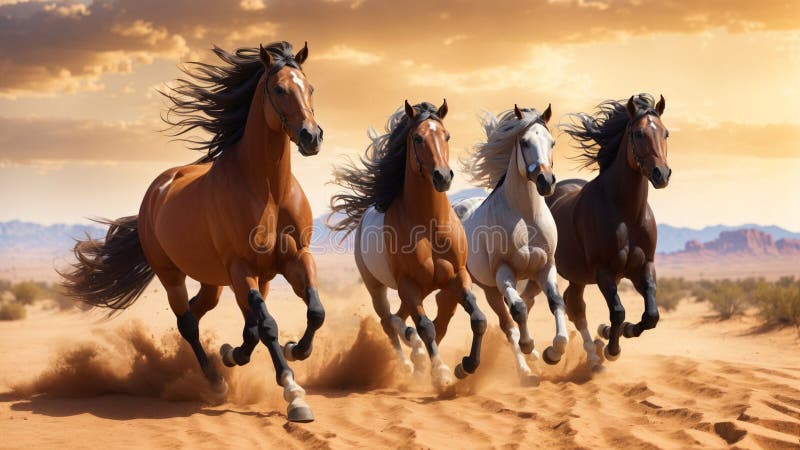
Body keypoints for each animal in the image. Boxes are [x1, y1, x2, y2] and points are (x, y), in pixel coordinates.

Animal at [61, 42, 325, 422]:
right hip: (172, 274)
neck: (268, 189)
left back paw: (229, 357)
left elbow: (313, 312)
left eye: (310, 88)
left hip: (218, 281)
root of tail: (158, 189)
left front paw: (294, 350)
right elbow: (268, 326)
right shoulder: (241, 268)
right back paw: (216, 382)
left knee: (205, 312)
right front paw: (294, 394)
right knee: (188, 322)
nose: (311, 137)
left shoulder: (295, 259)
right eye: (279, 89)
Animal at [330, 100, 487, 392]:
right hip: (378, 287)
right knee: (389, 322)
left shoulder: (457, 277)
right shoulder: (408, 284)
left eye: (447, 136)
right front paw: (441, 373)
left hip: (418, 290)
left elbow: (478, 318)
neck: (429, 223)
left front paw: (466, 366)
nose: (443, 176)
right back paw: (407, 363)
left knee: (399, 318)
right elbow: (426, 327)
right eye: (417, 138)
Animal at [452, 104, 568, 384]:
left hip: (489, 287)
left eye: (552, 142)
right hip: (488, 286)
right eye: (524, 142)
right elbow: (518, 309)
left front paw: (553, 351)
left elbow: (556, 303)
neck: (526, 216)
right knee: (507, 325)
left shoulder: (545, 268)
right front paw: (530, 346)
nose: (546, 181)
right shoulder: (505, 272)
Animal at [527, 94, 671, 371]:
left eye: (665, 133)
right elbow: (618, 311)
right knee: (536, 301)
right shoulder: (604, 272)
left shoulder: (643, 266)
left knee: (574, 304)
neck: (626, 213)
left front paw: (612, 333)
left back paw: (585, 354)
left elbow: (651, 315)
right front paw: (612, 349)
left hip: (577, 276)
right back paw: (550, 353)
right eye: (638, 134)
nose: (662, 174)